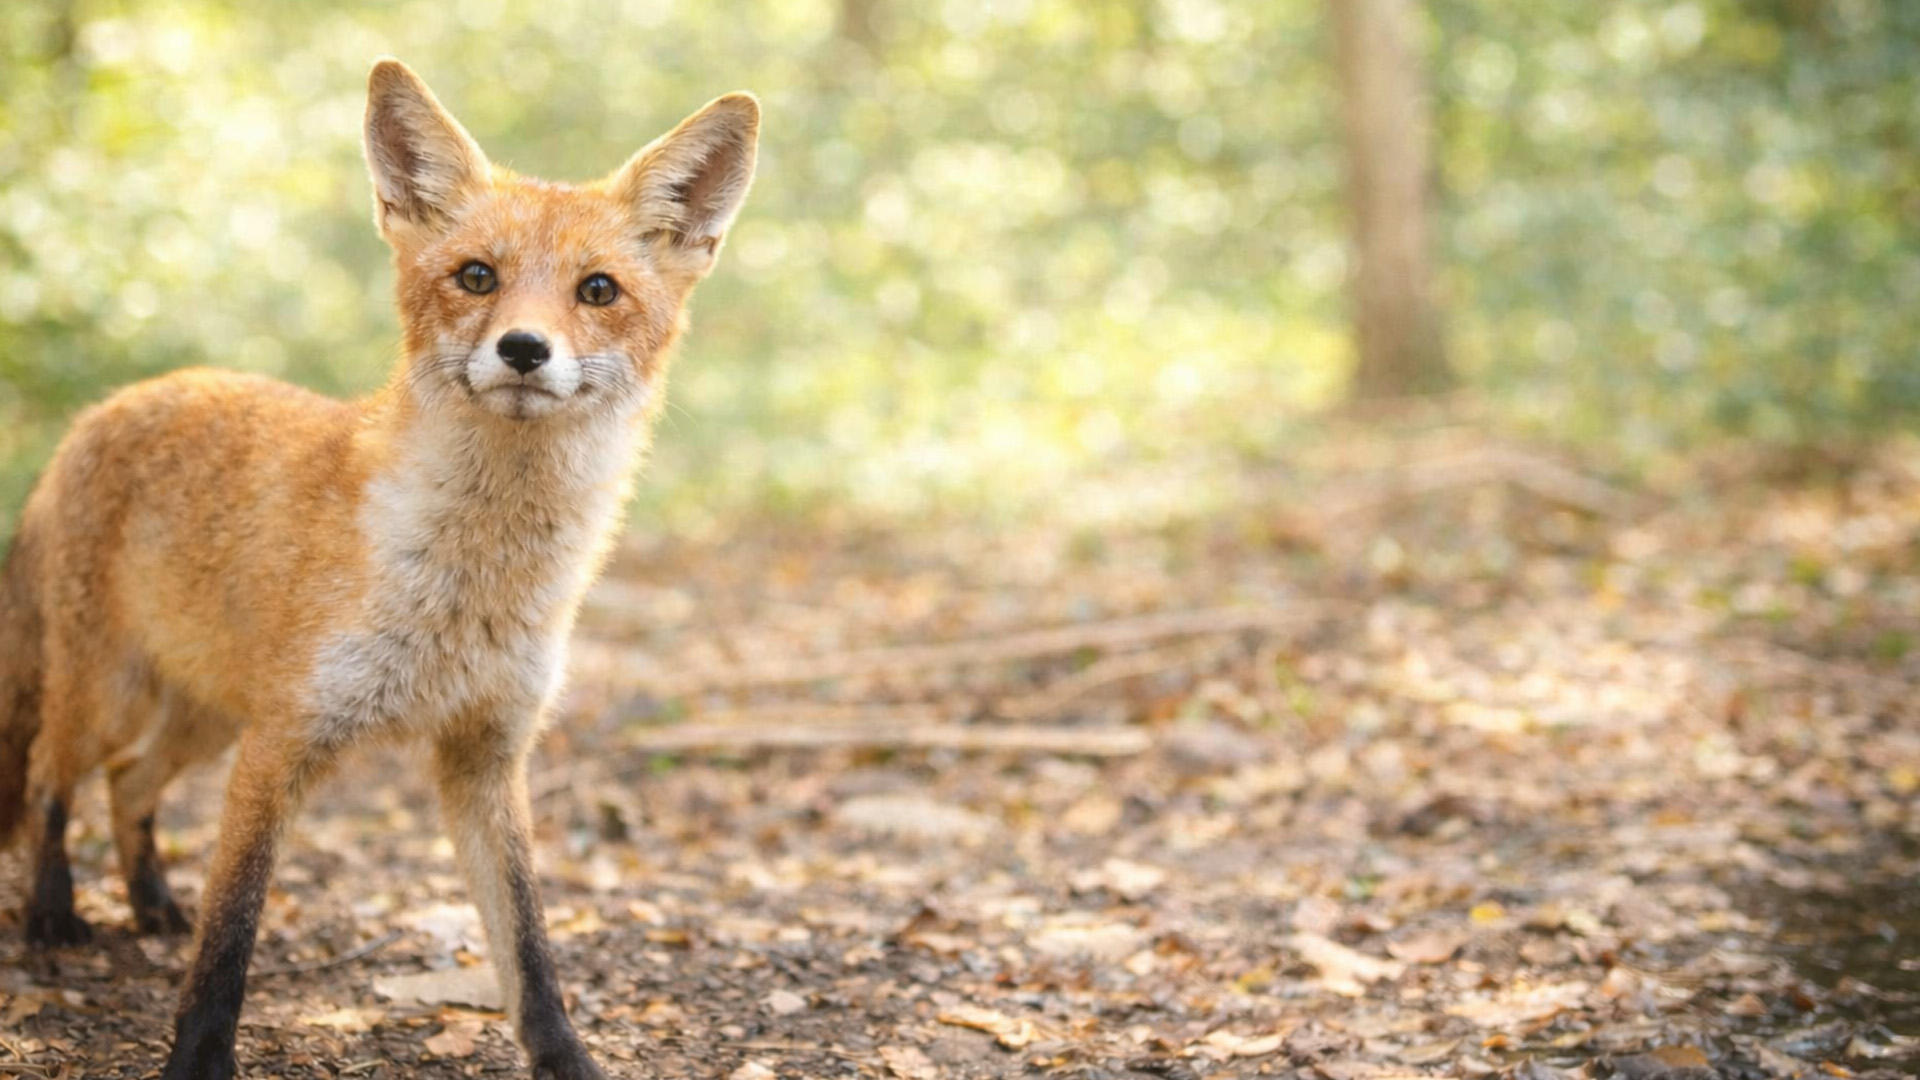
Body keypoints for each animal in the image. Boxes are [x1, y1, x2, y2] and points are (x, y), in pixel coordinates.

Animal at [0, 59, 758, 1079]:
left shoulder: (486, 756)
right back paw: (54, 914)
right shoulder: (283, 740)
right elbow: (229, 935)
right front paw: (197, 1058)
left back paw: (152, 904)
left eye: (597, 290)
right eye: (476, 276)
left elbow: (529, 947)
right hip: (113, 690)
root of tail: (112, 405)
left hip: (203, 714)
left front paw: (566, 1059)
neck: (468, 587)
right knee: (55, 779)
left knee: (128, 785)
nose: (525, 349)